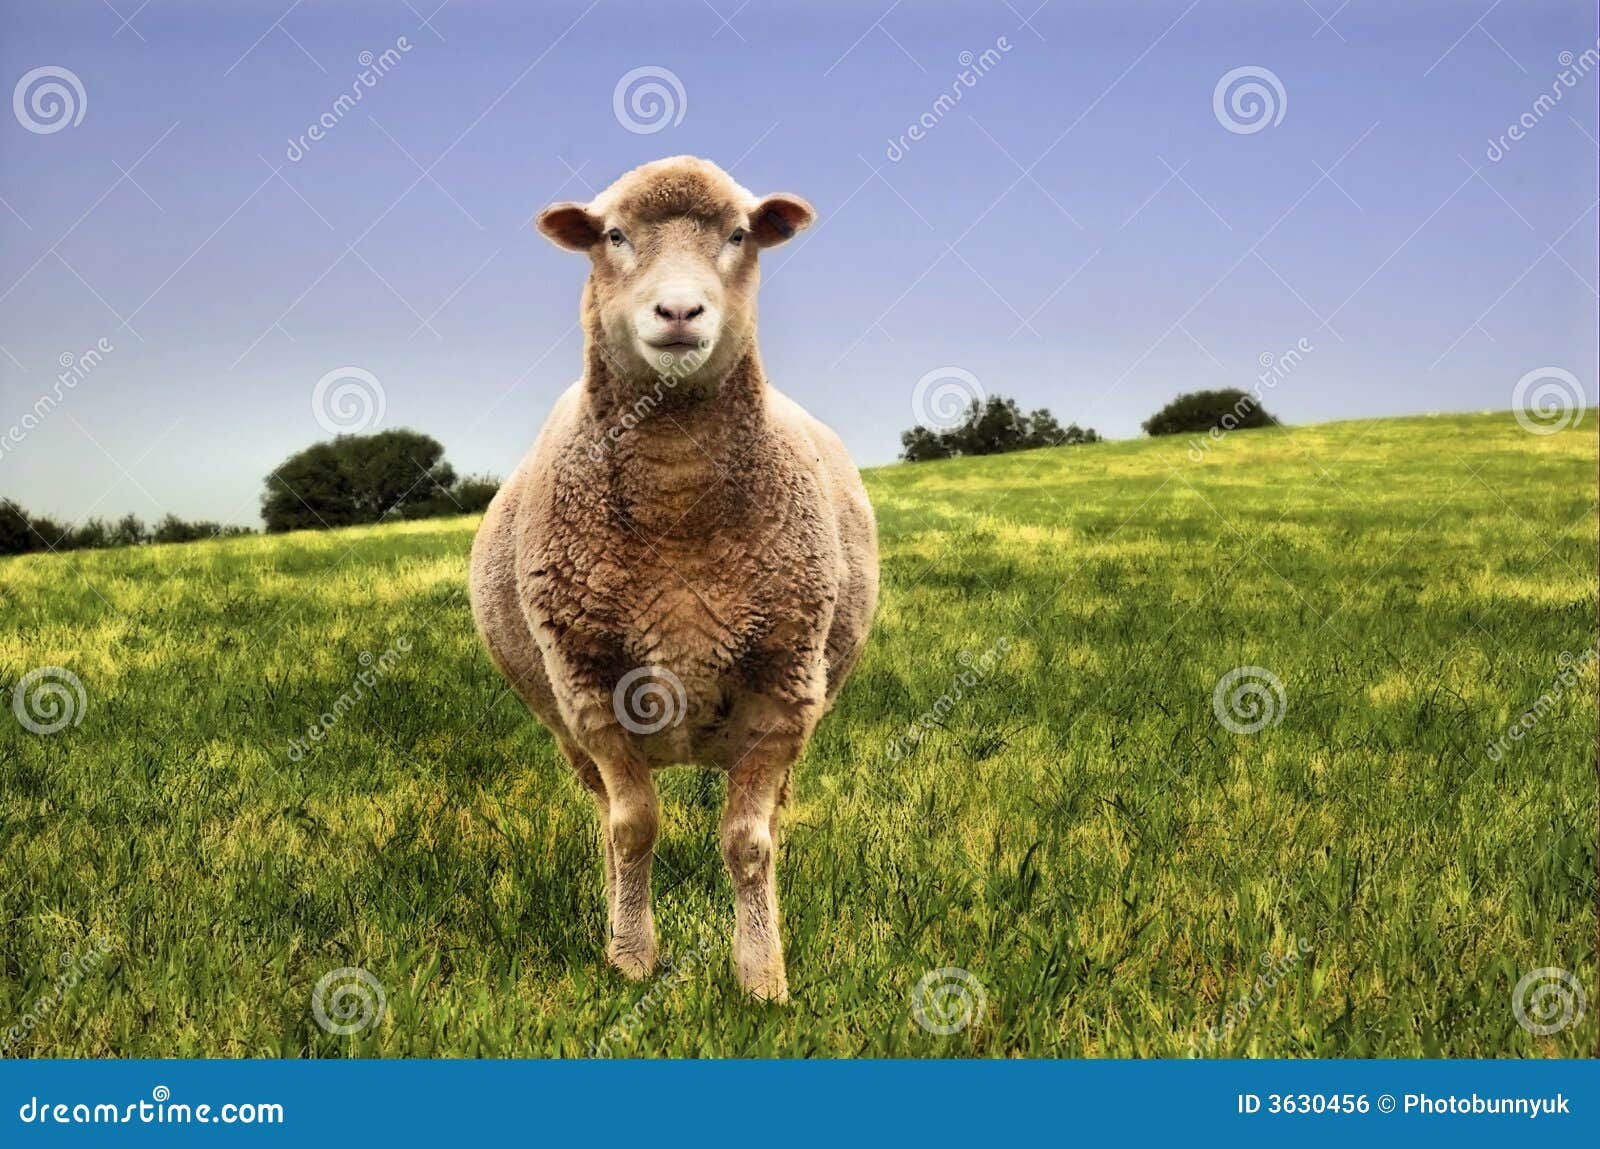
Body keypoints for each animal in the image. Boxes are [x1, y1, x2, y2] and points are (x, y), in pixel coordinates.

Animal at [469, 156, 878, 1001]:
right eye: (614, 236)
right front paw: (631, 957)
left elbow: (750, 842)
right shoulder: (589, 684)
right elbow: (634, 828)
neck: (678, 509)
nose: (680, 309)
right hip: (563, 725)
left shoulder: (784, 684)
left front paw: (761, 976)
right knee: (605, 816)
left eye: (739, 234)